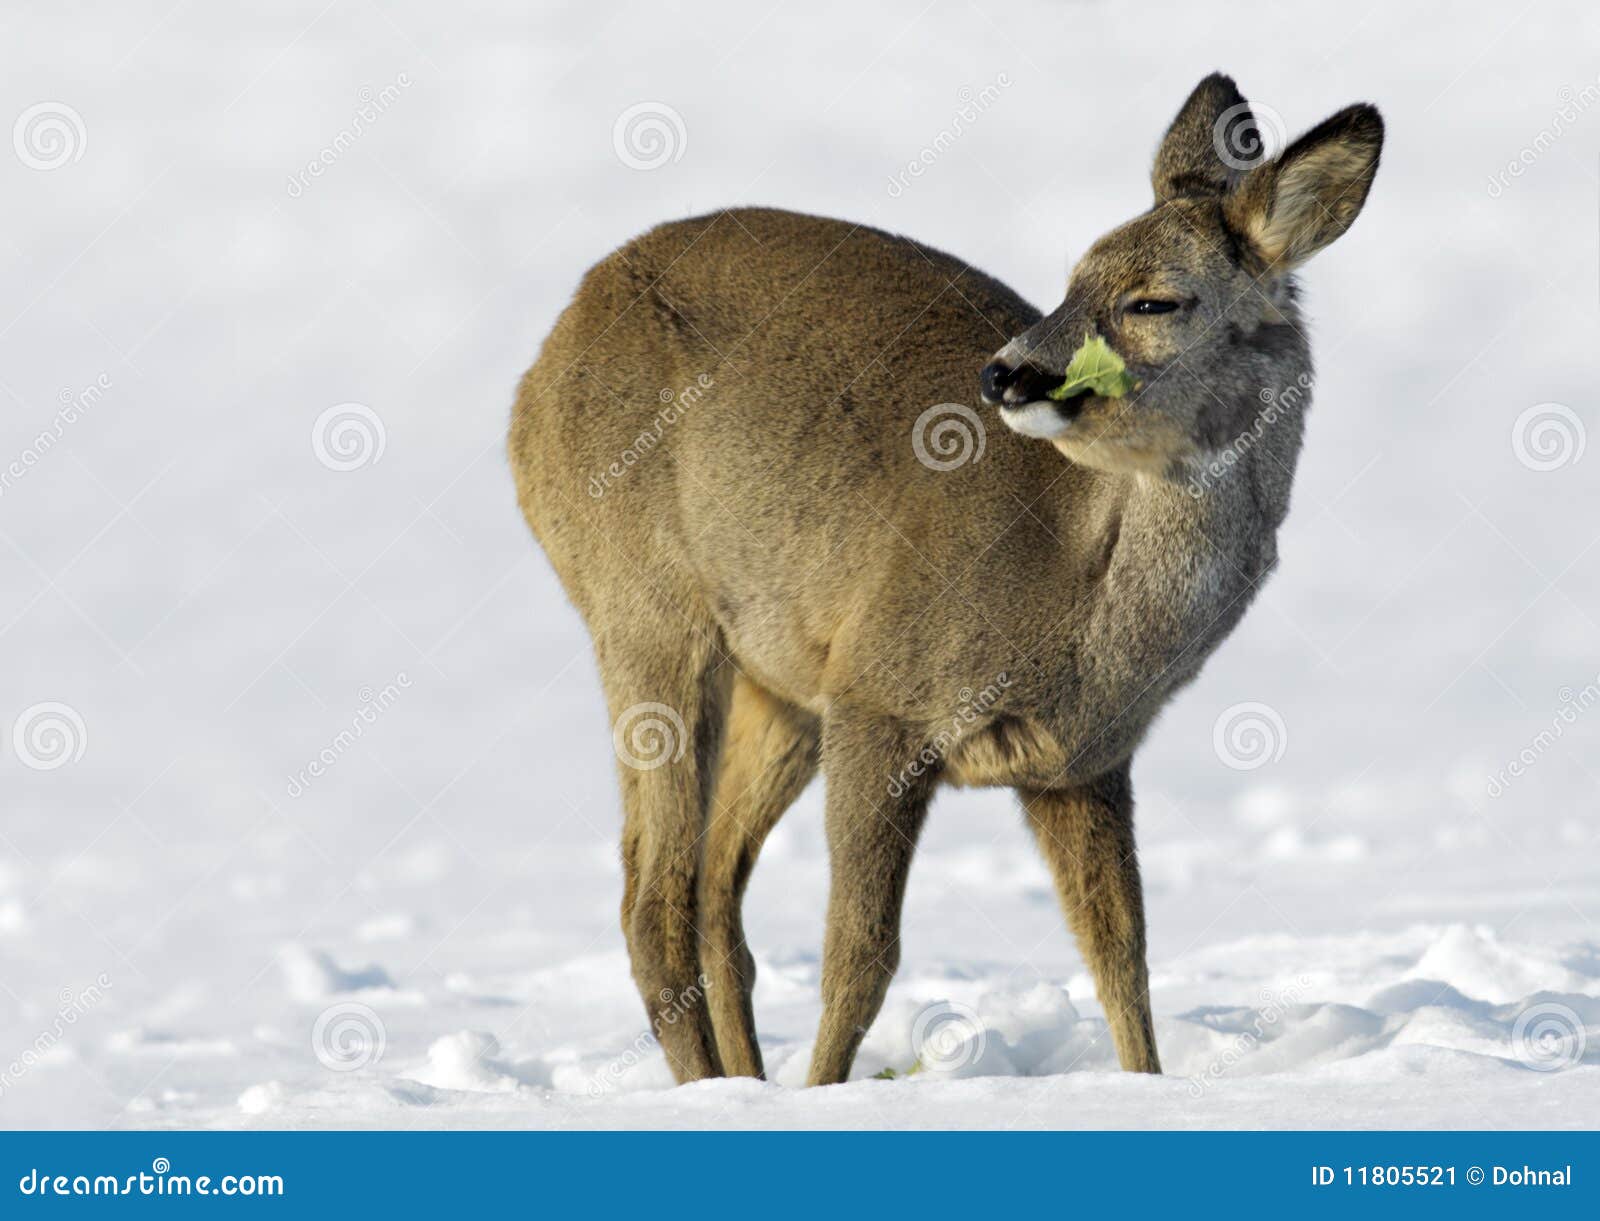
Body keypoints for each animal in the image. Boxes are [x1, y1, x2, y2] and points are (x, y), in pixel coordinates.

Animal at [509, 73, 1382, 1087]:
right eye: (1073, 276)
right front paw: (827, 1093)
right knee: (655, 897)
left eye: (1156, 301)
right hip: (645, 608)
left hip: (779, 680)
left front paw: (1146, 1086)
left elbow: (1120, 952)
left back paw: (744, 1083)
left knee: (715, 885)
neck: (1078, 603)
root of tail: (539, 366)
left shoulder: (1082, 761)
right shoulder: (880, 691)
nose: (1007, 372)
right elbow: (862, 953)